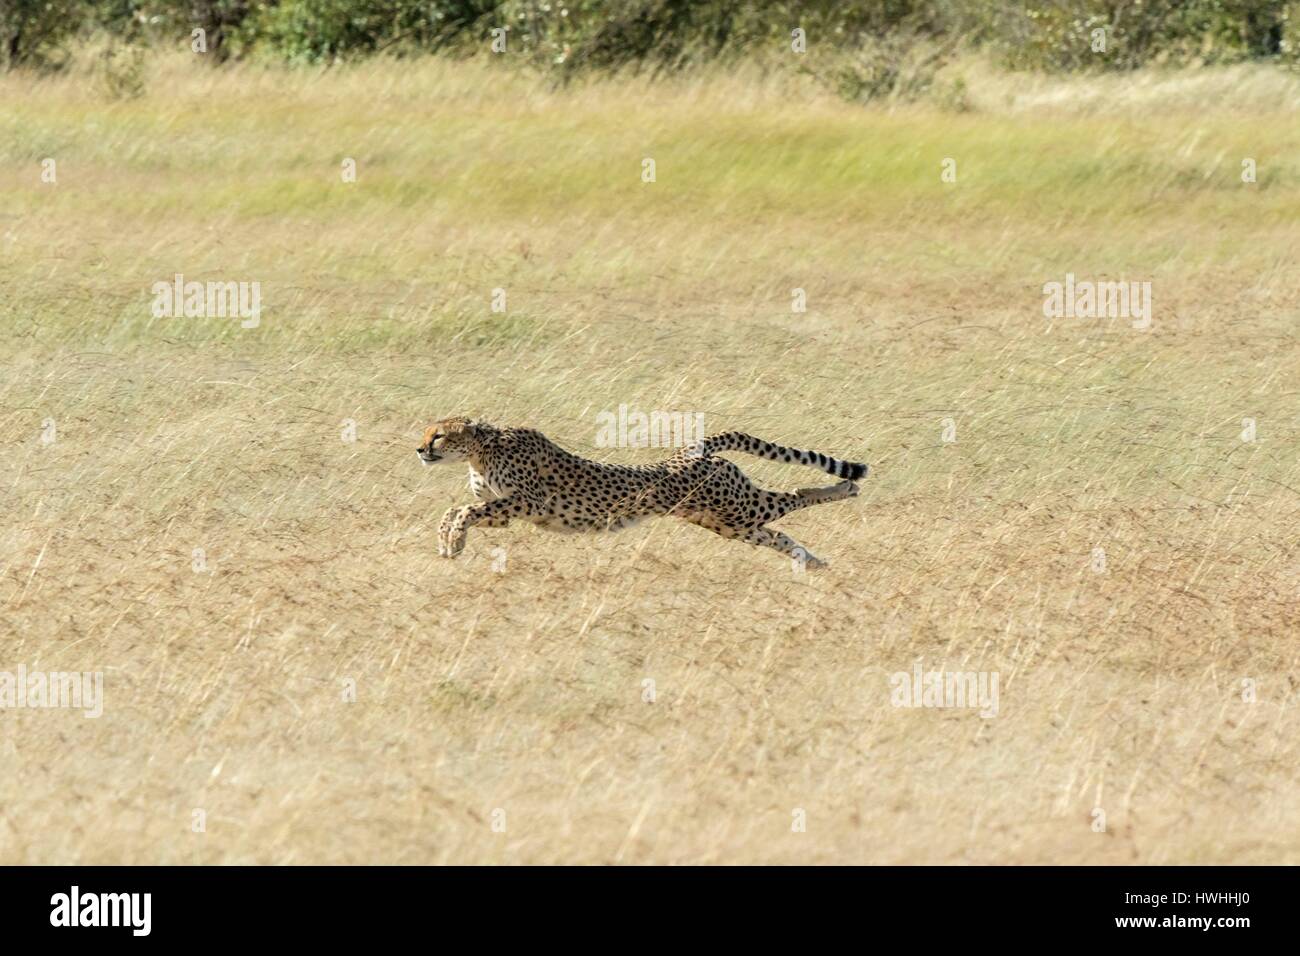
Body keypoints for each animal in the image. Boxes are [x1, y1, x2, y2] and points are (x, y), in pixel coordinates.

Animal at [416, 417, 867, 568]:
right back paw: (813, 562)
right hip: (730, 523)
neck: (481, 448)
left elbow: (464, 511)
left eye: (438, 435)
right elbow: (456, 510)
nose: (420, 450)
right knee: (777, 535)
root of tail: (693, 449)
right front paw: (447, 543)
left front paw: (454, 541)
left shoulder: (528, 502)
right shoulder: (506, 508)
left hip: (740, 508)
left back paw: (846, 486)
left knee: (794, 494)